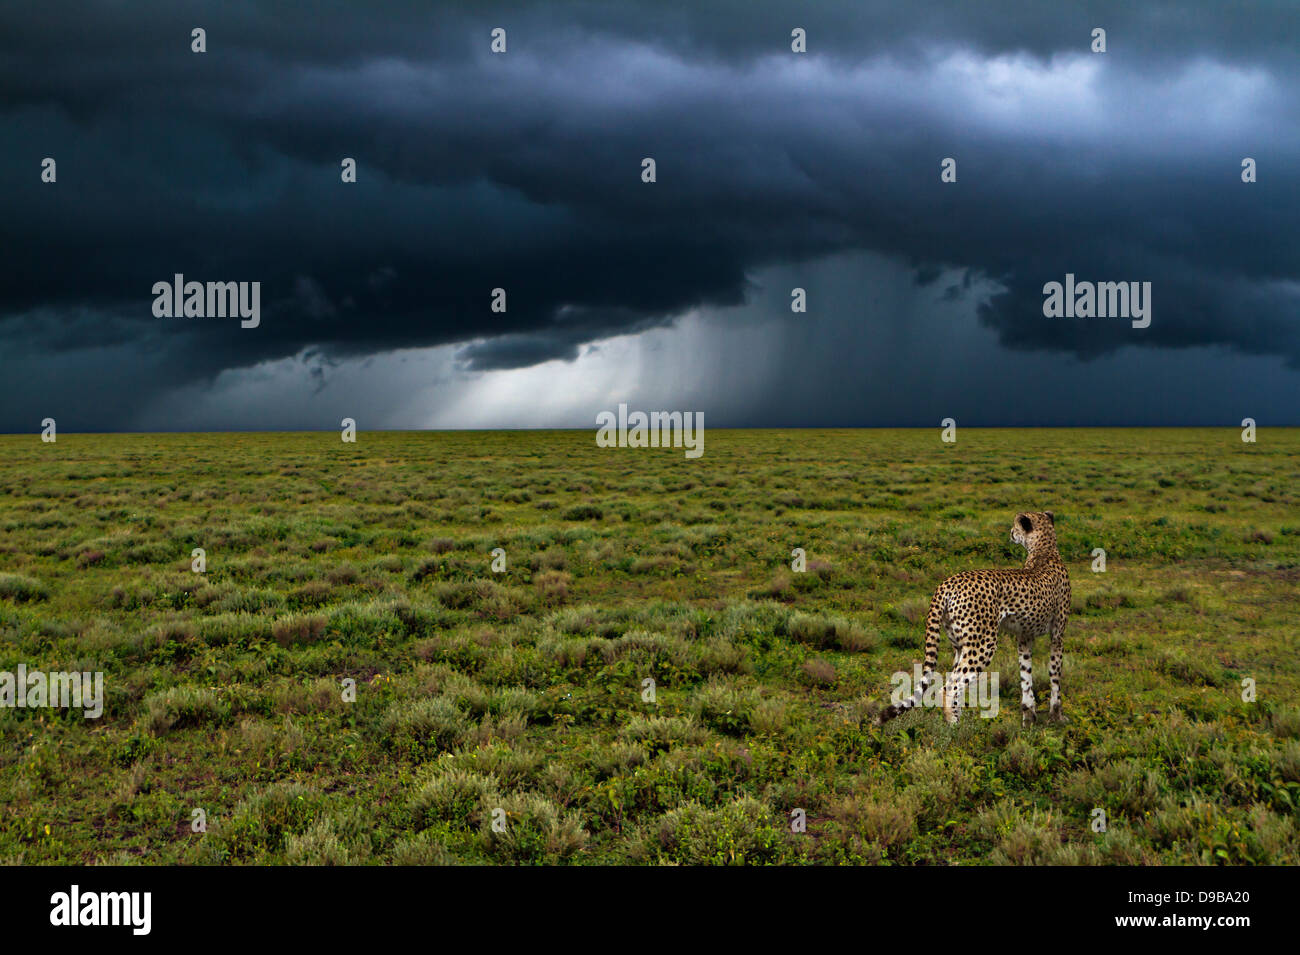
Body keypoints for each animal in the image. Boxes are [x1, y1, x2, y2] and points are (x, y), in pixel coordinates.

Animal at [875, 511, 1070, 727]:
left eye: (1015, 526)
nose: (1011, 532)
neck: (1044, 550)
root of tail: (947, 582)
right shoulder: (1057, 635)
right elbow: (1055, 675)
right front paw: (1057, 716)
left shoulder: (1025, 637)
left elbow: (1026, 676)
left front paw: (1029, 717)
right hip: (982, 645)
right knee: (949, 687)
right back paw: (954, 727)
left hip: (960, 645)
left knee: (952, 682)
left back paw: (956, 721)